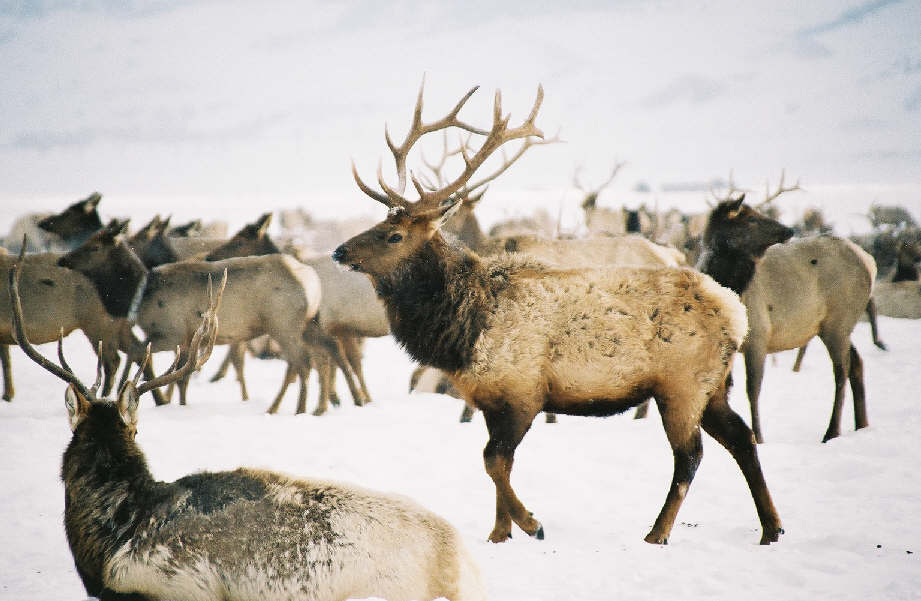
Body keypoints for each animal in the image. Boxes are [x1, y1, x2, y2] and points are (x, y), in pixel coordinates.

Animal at [333, 81, 782, 545]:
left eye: (393, 235)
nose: (339, 251)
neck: (462, 331)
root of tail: (734, 308)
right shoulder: (489, 400)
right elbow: (501, 465)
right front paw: (499, 534)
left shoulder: (523, 393)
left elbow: (493, 461)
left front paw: (531, 524)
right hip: (713, 385)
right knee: (742, 438)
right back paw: (771, 527)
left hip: (682, 384)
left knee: (690, 455)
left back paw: (657, 533)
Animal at [698, 191, 876, 443]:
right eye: (750, 219)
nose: (788, 229)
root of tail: (869, 262)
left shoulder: (758, 337)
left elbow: (753, 390)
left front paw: (758, 437)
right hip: (835, 327)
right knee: (857, 363)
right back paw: (861, 424)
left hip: (838, 322)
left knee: (841, 370)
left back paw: (831, 432)